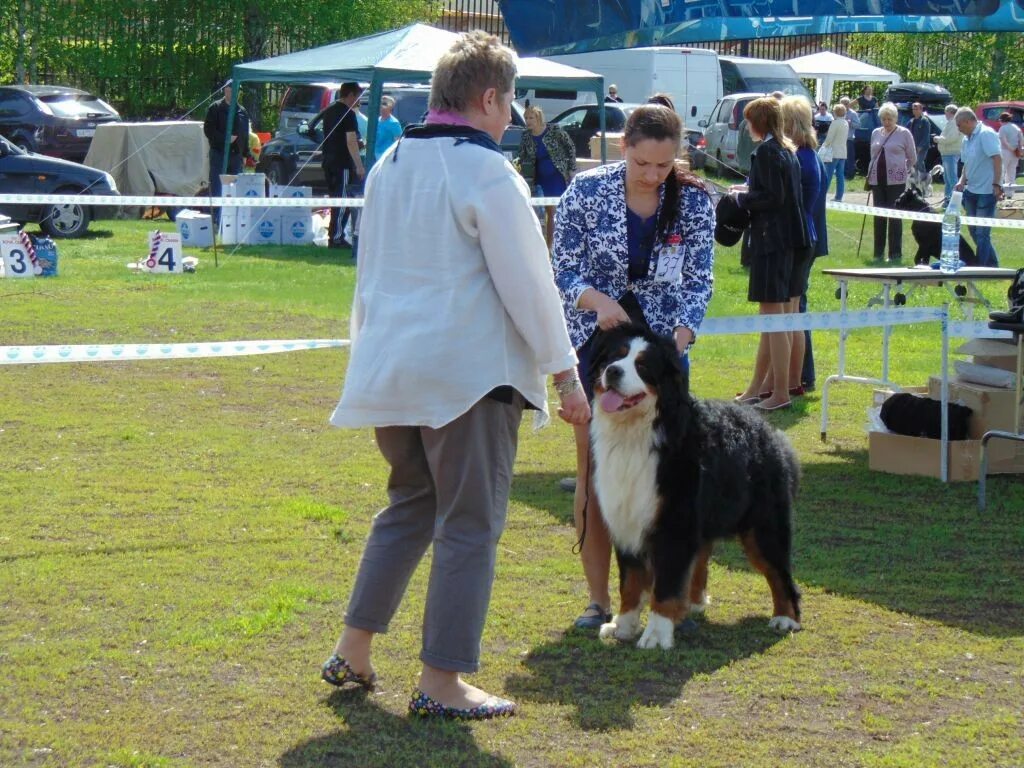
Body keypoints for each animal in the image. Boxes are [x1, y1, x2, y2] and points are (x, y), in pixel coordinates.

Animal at [589, 321, 802, 651]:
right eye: (616, 355)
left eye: (642, 366)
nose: (612, 371)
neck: (639, 433)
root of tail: (771, 432)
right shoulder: (626, 518)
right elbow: (631, 583)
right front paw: (623, 625)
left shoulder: (673, 524)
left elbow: (665, 586)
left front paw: (656, 633)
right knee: (701, 560)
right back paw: (693, 603)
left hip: (763, 527)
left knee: (780, 573)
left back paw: (786, 618)